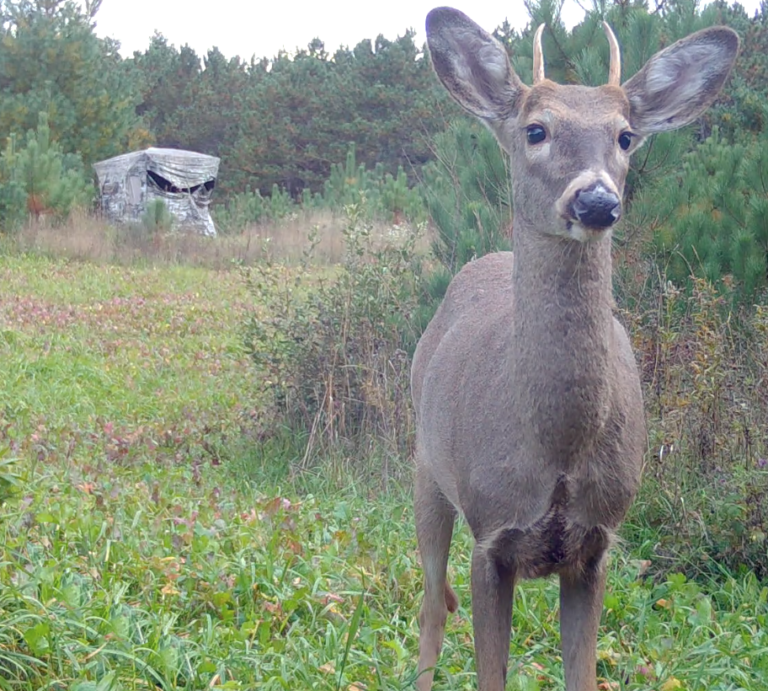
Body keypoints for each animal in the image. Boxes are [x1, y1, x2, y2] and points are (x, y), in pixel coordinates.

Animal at [411, 8, 738, 691]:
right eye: (536, 129)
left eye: (626, 137)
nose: (596, 200)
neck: (556, 446)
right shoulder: (491, 532)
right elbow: (489, 671)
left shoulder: (596, 543)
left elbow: (581, 672)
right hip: (424, 467)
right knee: (430, 604)